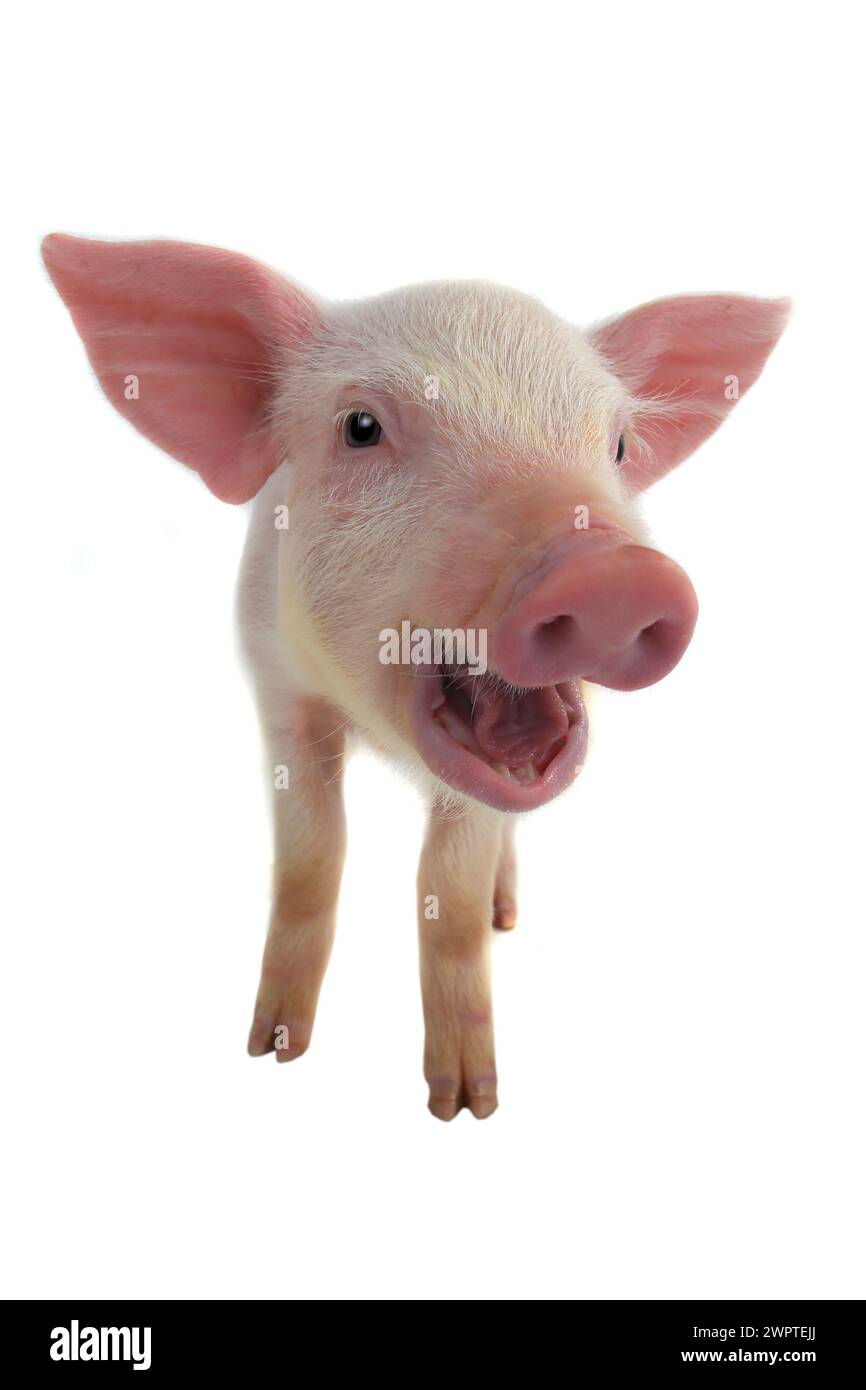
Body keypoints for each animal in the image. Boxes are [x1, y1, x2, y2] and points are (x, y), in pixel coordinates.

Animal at [42, 234, 788, 1120]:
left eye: (617, 446)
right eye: (361, 428)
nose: (611, 571)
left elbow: (452, 897)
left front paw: (465, 1105)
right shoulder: (276, 686)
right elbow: (311, 856)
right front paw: (272, 1050)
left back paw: (507, 917)